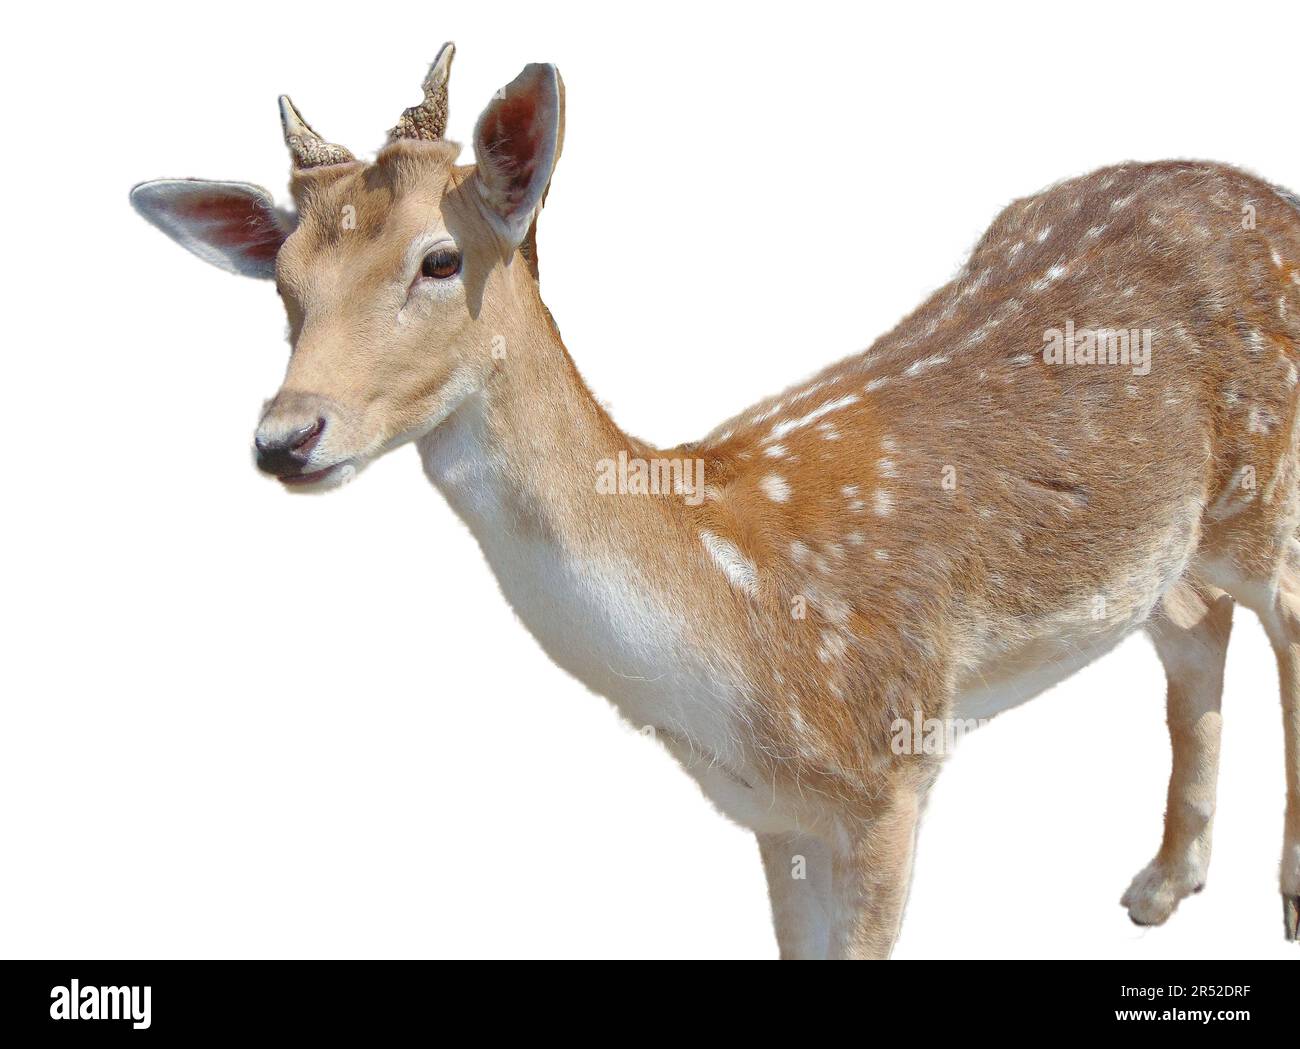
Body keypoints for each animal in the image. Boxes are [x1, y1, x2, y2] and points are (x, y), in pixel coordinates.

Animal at [130, 42, 1300, 959]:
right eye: (284, 284)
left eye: (440, 258)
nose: (286, 435)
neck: (736, 613)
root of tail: (1272, 195)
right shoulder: (774, 816)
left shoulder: (895, 764)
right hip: (1167, 542)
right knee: (1193, 620)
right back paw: (1162, 884)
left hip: (1270, 492)